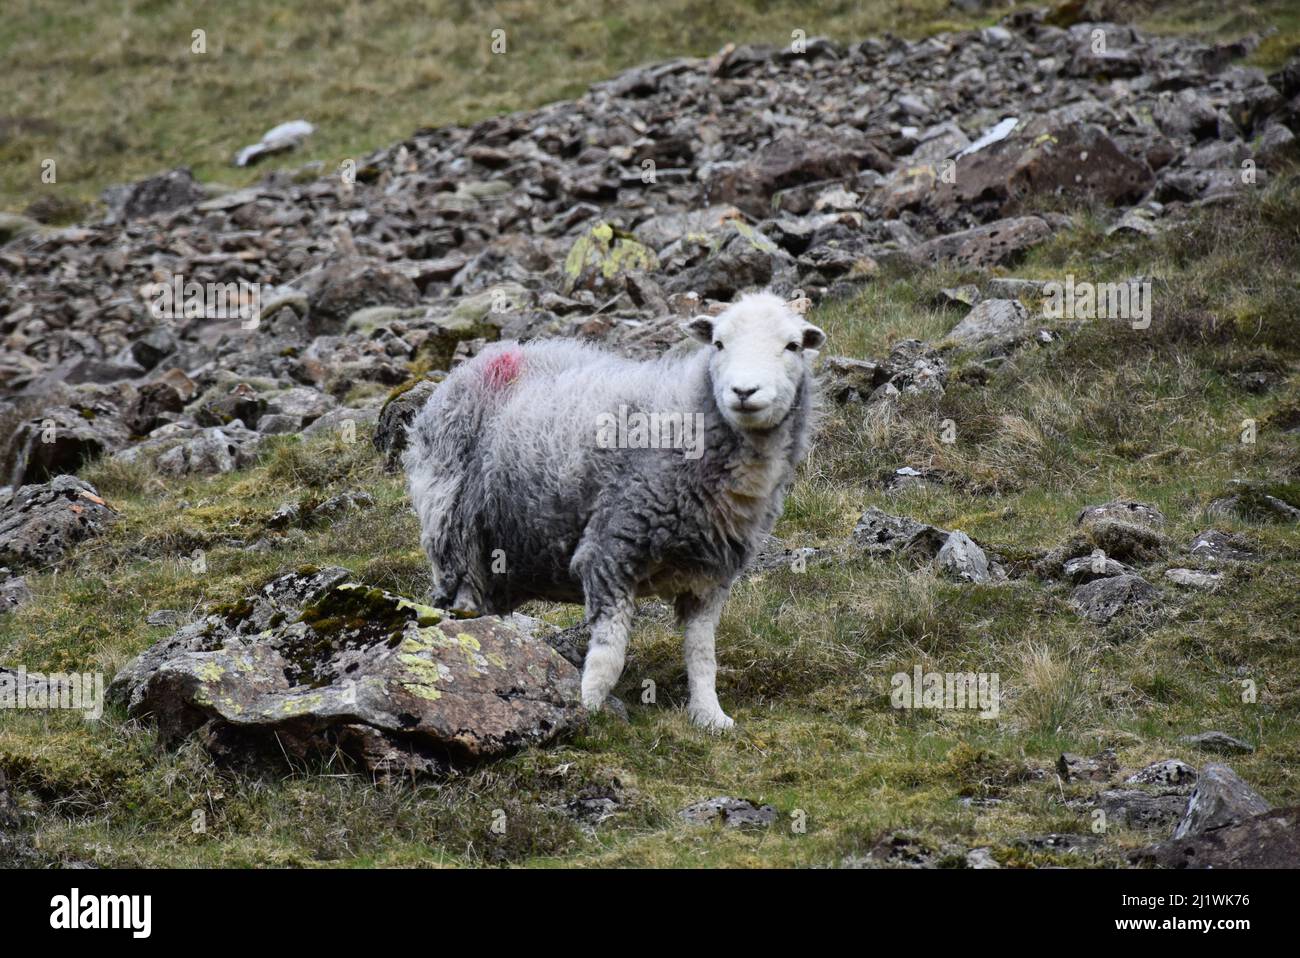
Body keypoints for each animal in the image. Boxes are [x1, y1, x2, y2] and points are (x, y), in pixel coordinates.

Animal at [403, 291, 824, 730]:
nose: (744, 391)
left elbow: (702, 654)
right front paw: (587, 710)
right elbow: (609, 655)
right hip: (452, 527)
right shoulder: (610, 548)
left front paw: (710, 716)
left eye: (792, 346)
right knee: (462, 602)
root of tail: (488, 356)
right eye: (719, 344)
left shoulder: (711, 576)